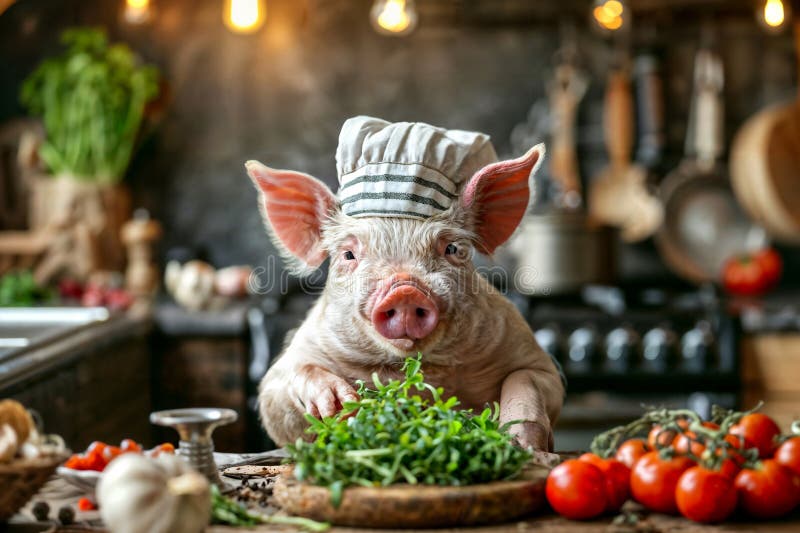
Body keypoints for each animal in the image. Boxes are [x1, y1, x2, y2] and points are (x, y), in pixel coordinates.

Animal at [245, 134, 564, 452]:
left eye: (452, 249)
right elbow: (280, 394)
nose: (405, 289)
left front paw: (524, 445)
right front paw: (340, 406)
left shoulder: (530, 354)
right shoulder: (296, 356)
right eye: (348, 254)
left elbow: (529, 380)